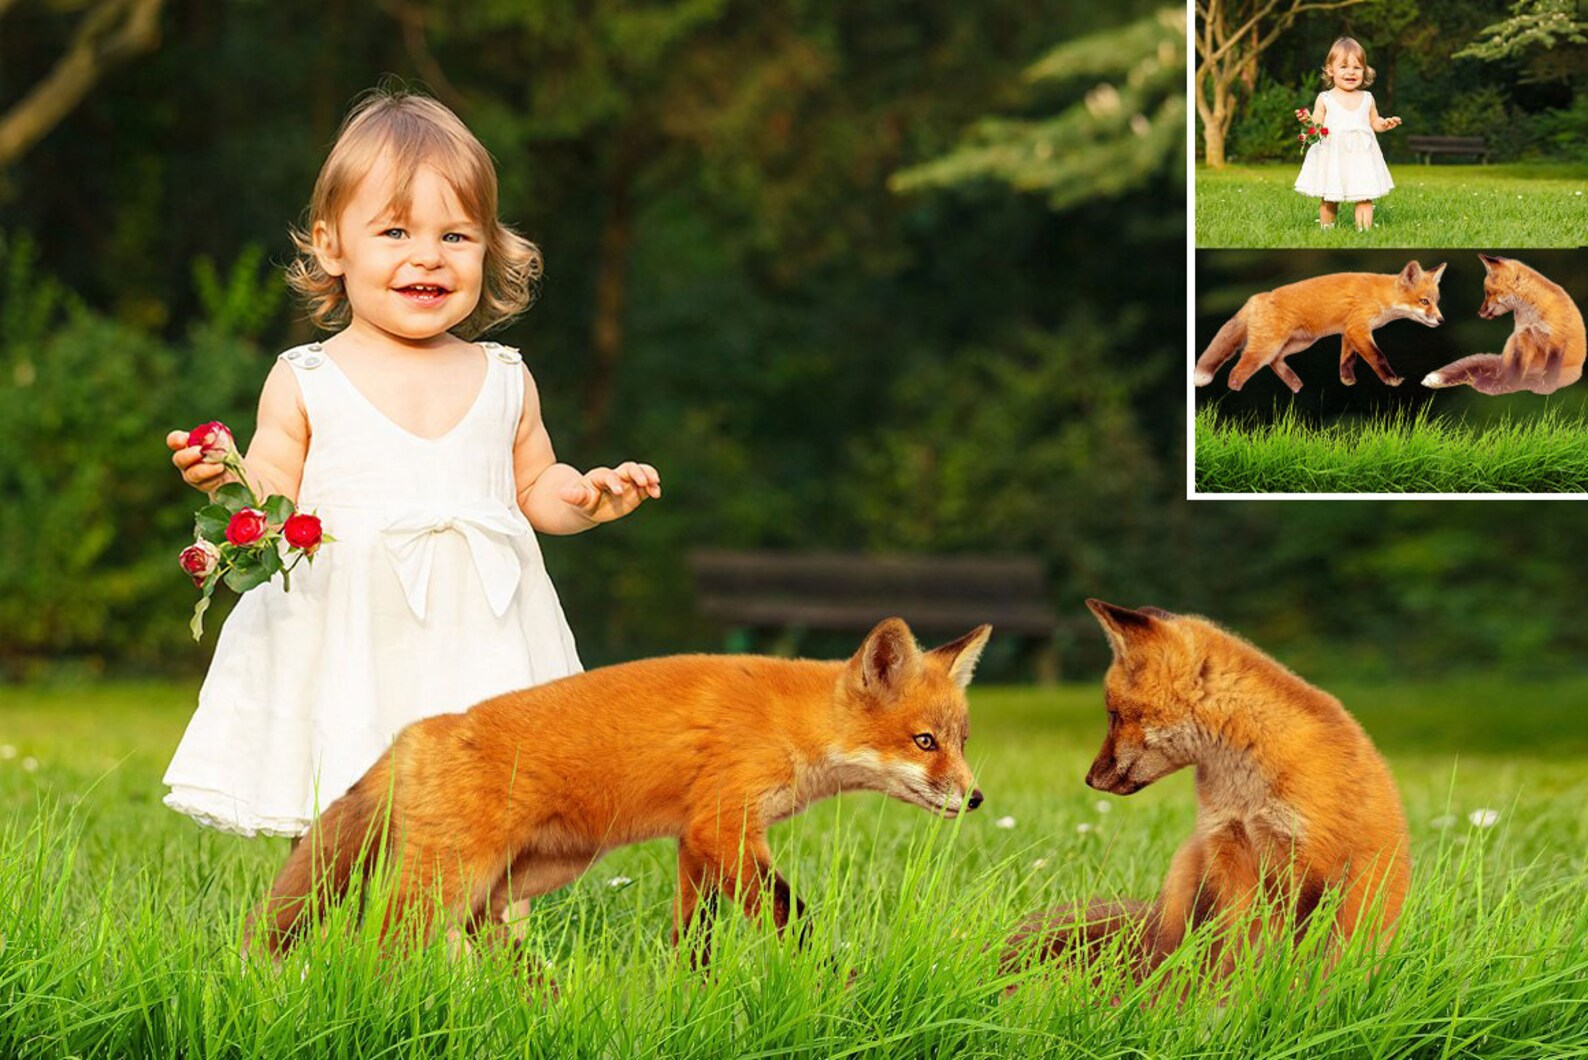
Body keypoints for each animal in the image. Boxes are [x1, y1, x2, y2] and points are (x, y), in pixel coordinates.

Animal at [249, 617, 990, 961]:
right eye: (925, 743)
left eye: (962, 741)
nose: (977, 799)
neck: (790, 723)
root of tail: (413, 733)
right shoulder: (726, 825)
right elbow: (793, 917)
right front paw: (830, 978)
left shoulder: (698, 840)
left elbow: (695, 938)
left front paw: (690, 999)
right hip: (447, 881)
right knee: (376, 949)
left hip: (526, 875)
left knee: (479, 940)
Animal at [1009, 600, 1409, 981]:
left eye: (1113, 715)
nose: (1090, 779)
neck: (1247, 789)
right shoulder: (1226, 848)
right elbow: (1225, 949)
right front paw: (1213, 997)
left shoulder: (1315, 864)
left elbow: (1300, 958)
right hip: (1186, 865)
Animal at [1195, 261, 1446, 392]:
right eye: (1424, 302)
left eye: (1436, 301)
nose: (1441, 320)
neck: (1379, 295)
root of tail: (1256, 298)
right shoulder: (1358, 328)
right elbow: (1377, 356)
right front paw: (1391, 380)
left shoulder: (1349, 330)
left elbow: (1347, 359)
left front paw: (1346, 380)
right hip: (1266, 347)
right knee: (1237, 372)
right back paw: (1235, 393)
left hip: (1299, 343)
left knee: (1275, 362)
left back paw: (1296, 386)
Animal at [1422, 254, 1585, 395]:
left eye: (1488, 293)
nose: (1479, 313)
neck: (1531, 316)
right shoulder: (1523, 336)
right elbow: (1517, 368)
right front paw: (1510, 385)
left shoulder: (1556, 340)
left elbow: (1550, 371)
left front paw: (1547, 387)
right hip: (1512, 342)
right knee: (1506, 373)